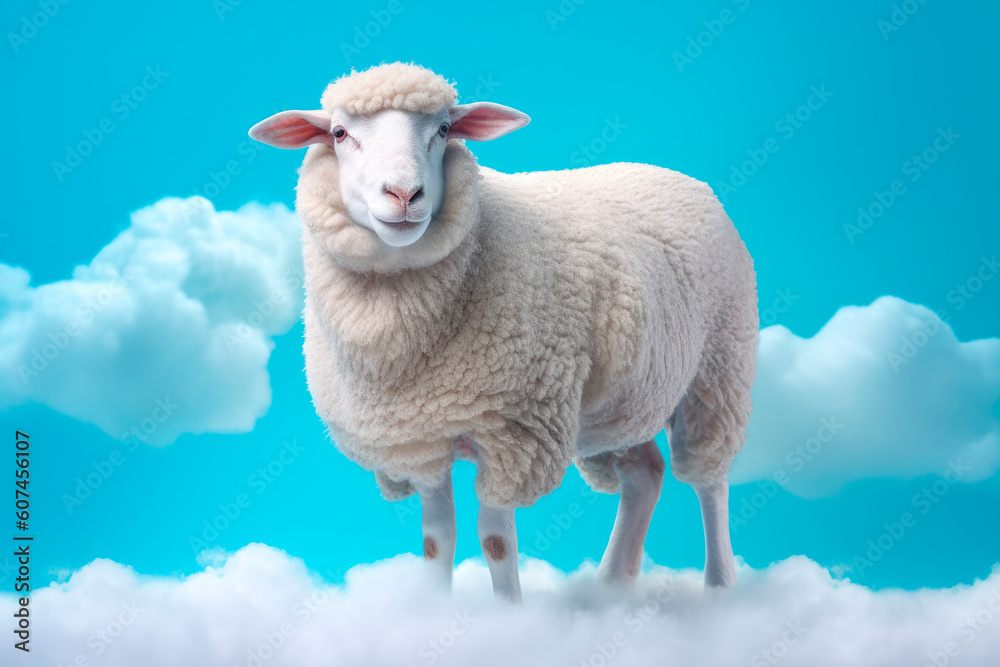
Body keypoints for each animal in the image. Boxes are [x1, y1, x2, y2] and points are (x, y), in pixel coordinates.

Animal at [249, 62, 758, 602]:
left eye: (444, 129)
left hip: (718, 369)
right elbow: (437, 539)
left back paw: (719, 588)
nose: (404, 195)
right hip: (623, 401)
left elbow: (494, 541)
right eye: (340, 134)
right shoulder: (420, 438)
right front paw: (429, 609)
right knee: (646, 474)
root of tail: (678, 176)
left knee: (708, 479)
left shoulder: (513, 435)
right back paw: (609, 586)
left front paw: (510, 612)